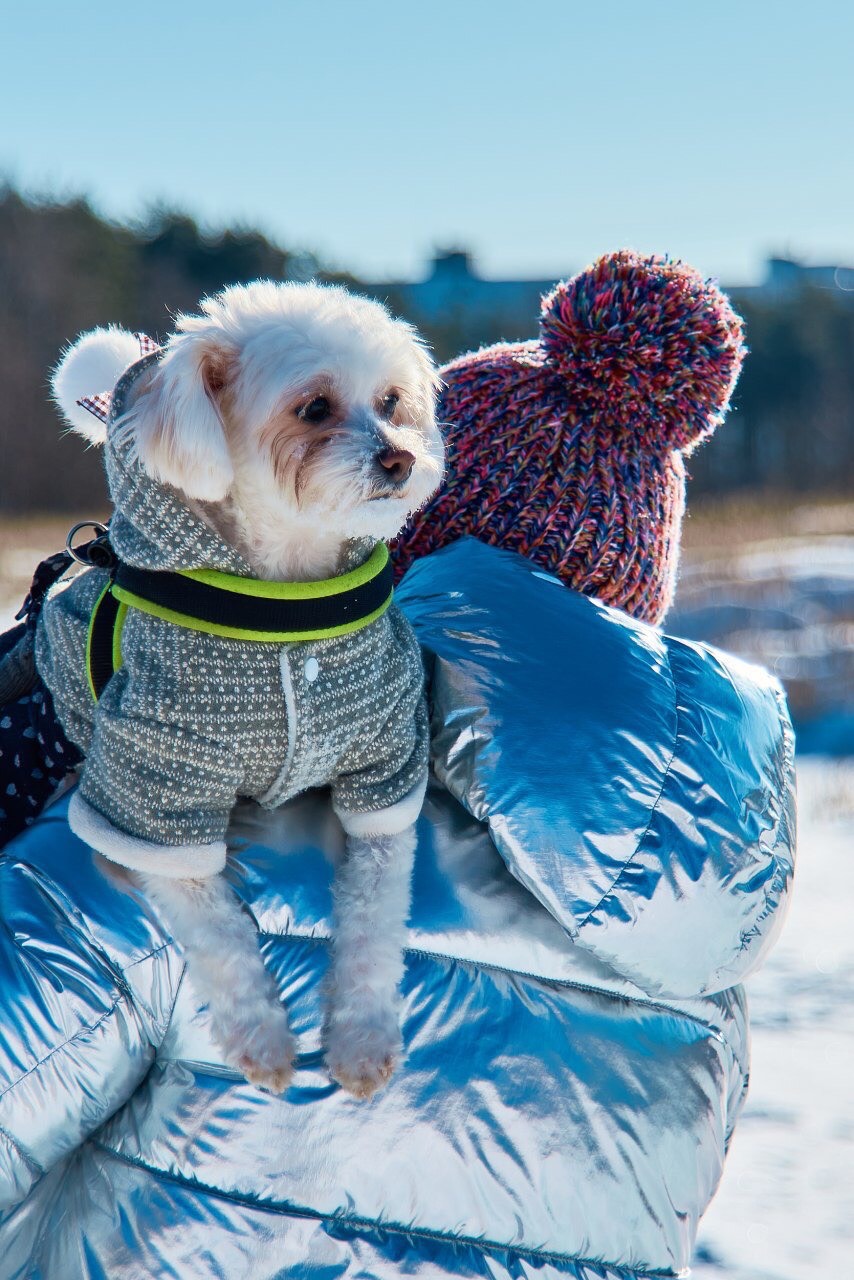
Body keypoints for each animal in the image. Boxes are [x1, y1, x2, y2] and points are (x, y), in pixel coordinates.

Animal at [46, 282, 445, 1100]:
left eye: (391, 400)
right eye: (314, 407)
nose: (401, 458)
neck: (286, 610)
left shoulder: (385, 765)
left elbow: (375, 914)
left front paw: (362, 1038)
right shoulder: (151, 788)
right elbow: (216, 931)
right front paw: (262, 1039)